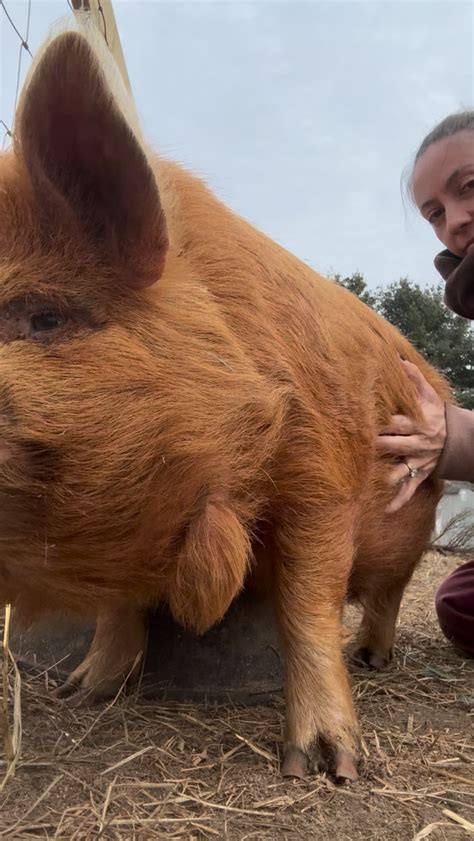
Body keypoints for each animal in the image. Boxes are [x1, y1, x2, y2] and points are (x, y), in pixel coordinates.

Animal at [0, 23, 451, 781]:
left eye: (44, 318)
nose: (69, 692)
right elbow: (120, 605)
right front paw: (81, 693)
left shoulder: (322, 476)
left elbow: (308, 600)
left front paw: (323, 767)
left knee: (386, 593)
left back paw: (372, 659)